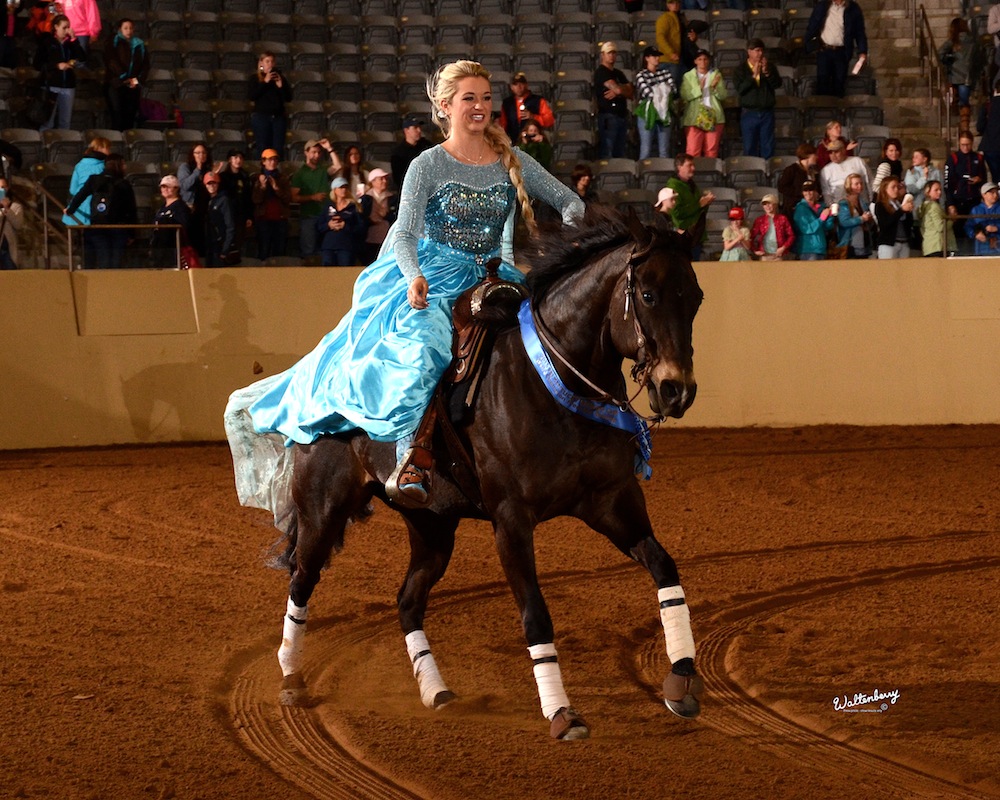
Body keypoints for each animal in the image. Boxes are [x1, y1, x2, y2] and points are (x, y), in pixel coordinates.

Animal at [261, 206, 704, 740]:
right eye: (648, 294)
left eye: (695, 297)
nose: (676, 389)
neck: (548, 380)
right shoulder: (510, 521)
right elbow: (536, 615)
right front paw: (562, 713)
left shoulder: (612, 501)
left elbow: (664, 568)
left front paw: (682, 680)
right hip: (322, 513)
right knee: (301, 583)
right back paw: (290, 679)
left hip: (432, 527)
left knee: (407, 601)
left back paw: (435, 690)